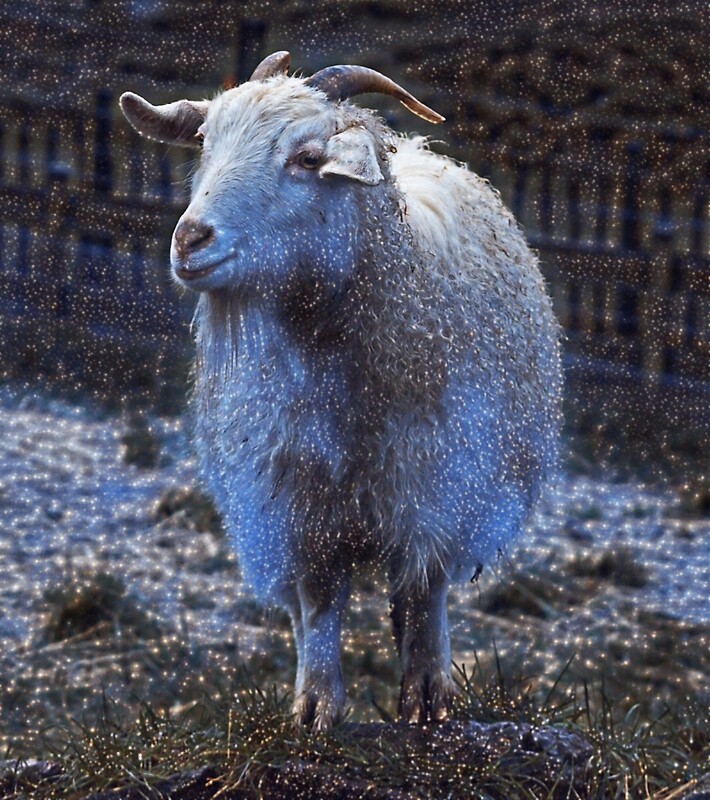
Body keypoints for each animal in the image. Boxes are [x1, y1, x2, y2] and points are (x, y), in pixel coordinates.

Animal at [120, 51, 562, 730]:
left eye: (306, 158)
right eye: (204, 144)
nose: (190, 239)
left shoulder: (438, 485)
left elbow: (425, 588)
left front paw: (428, 699)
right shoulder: (293, 500)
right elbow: (320, 599)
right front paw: (315, 709)